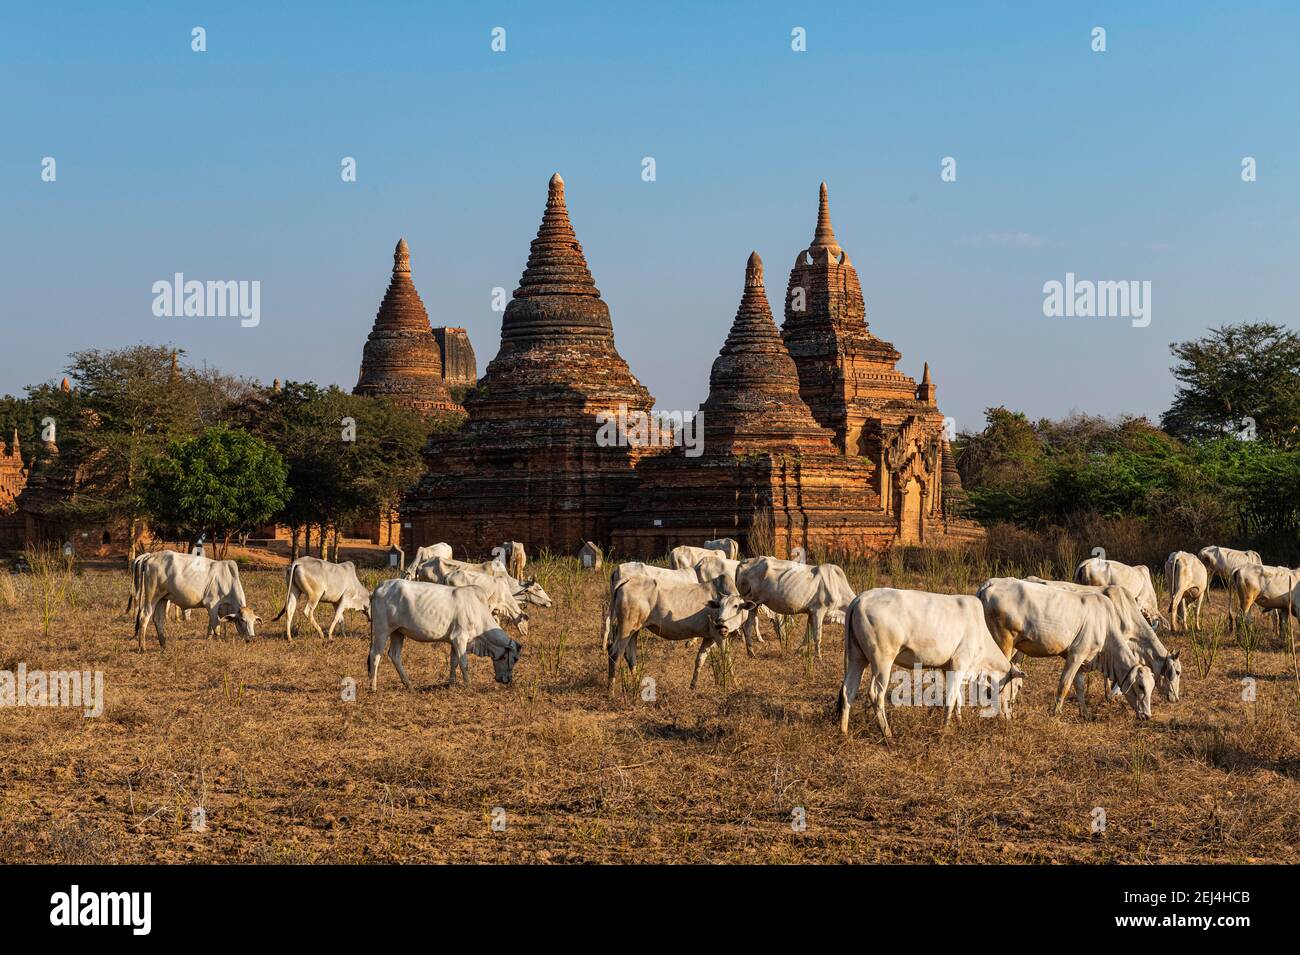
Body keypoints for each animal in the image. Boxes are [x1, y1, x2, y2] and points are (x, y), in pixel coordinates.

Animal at [367, 579, 522, 690]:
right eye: (514, 659)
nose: (507, 680)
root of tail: (380, 586)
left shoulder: (454, 641)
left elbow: (454, 662)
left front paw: (451, 683)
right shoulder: (460, 638)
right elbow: (463, 663)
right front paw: (468, 685)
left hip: (398, 632)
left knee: (394, 655)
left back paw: (409, 685)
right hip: (382, 630)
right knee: (375, 654)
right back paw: (373, 687)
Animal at [605, 575, 755, 692]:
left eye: (735, 606)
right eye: (720, 605)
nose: (719, 623)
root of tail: (628, 580)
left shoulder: (709, 638)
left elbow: (699, 660)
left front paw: (693, 686)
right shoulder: (719, 637)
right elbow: (727, 659)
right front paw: (735, 685)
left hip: (634, 631)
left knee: (630, 656)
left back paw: (638, 686)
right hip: (625, 628)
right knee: (614, 653)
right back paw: (610, 690)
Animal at [834, 589, 1024, 737]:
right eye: (1016, 687)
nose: (1010, 717)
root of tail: (860, 599)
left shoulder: (948, 669)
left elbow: (958, 698)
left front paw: (959, 722)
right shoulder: (959, 664)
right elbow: (951, 698)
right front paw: (945, 729)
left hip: (857, 658)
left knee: (848, 691)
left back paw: (843, 732)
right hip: (882, 660)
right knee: (876, 694)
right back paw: (887, 733)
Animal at [977, 578, 1156, 720]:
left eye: (1152, 687)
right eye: (1141, 686)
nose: (1147, 716)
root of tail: (991, 583)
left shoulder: (1083, 661)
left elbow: (1080, 687)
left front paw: (1085, 714)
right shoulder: (1076, 655)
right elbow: (1065, 685)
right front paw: (1056, 713)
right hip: (1003, 642)